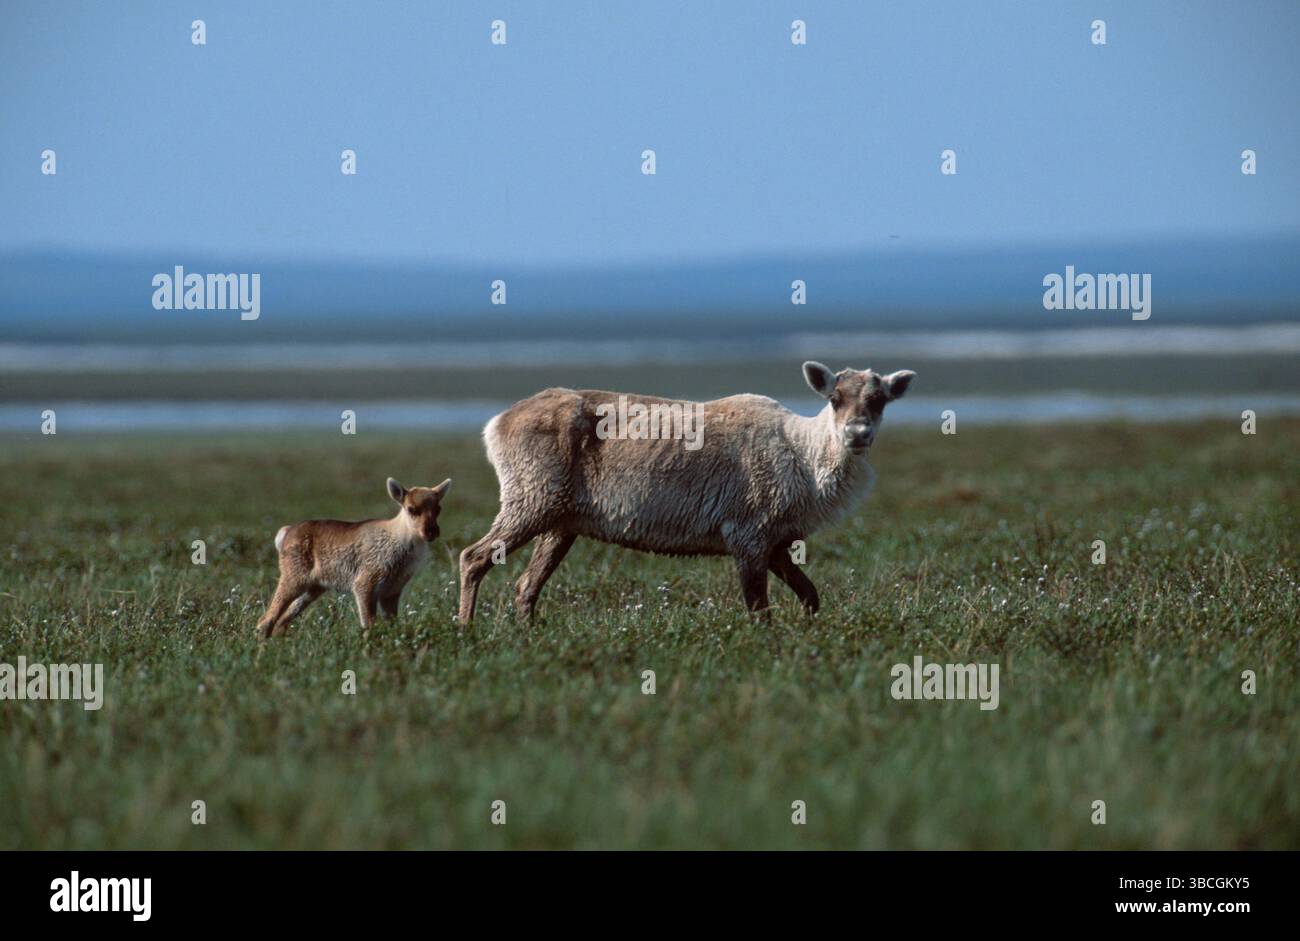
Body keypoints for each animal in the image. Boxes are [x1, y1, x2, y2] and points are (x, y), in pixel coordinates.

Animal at [256, 477, 451, 638]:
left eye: (438, 509)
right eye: (411, 509)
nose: (431, 532)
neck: (399, 538)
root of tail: (286, 532)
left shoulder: (391, 592)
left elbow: (392, 626)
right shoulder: (365, 585)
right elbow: (368, 626)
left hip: (314, 588)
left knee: (282, 620)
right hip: (293, 580)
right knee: (266, 620)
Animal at [457, 362, 914, 620]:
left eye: (880, 399)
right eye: (834, 397)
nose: (857, 434)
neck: (804, 454)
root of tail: (495, 424)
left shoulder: (778, 543)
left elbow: (811, 596)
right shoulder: (747, 535)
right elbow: (759, 610)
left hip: (560, 524)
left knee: (525, 586)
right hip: (531, 501)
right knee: (473, 556)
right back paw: (466, 631)